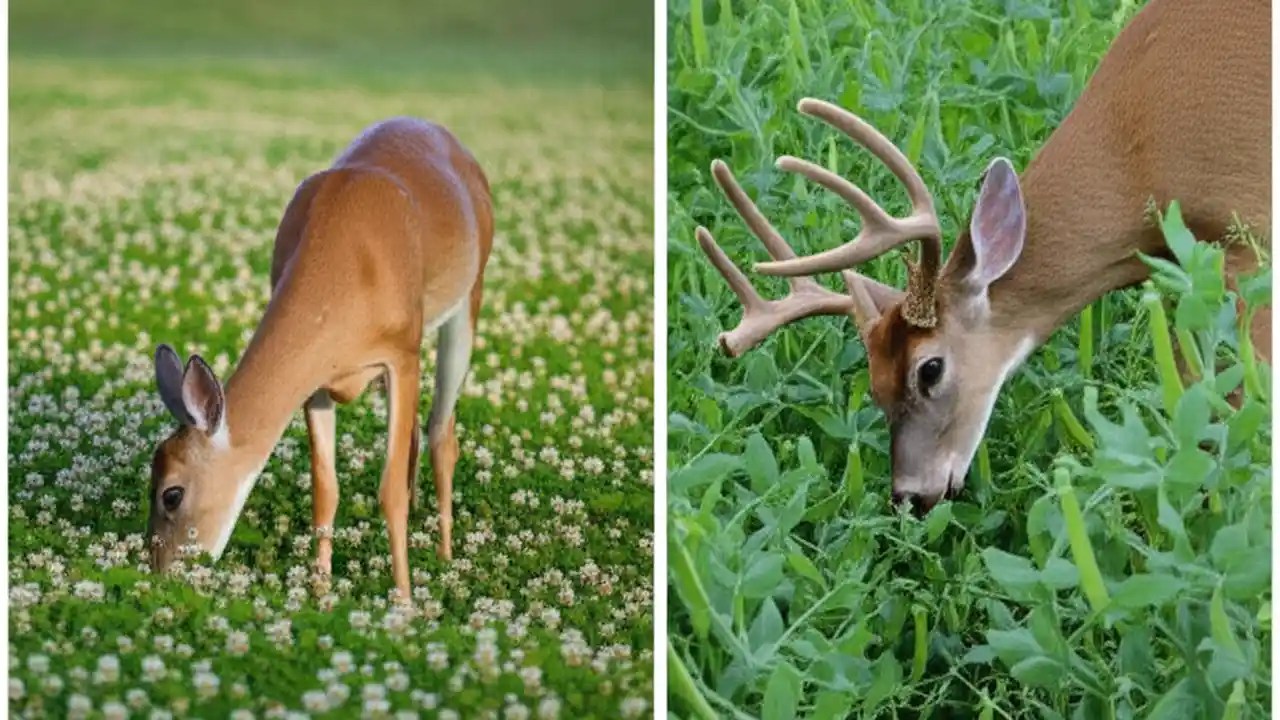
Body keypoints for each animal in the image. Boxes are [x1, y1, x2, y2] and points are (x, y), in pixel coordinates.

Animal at [147, 117, 494, 600]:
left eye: (172, 493)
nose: (158, 573)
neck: (347, 274)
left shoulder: (400, 353)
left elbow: (388, 491)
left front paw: (403, 601)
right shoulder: (316, 382)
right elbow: (326, 488)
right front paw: (319, 592)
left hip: (467, 297)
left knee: (442, 433)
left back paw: (444, 555)